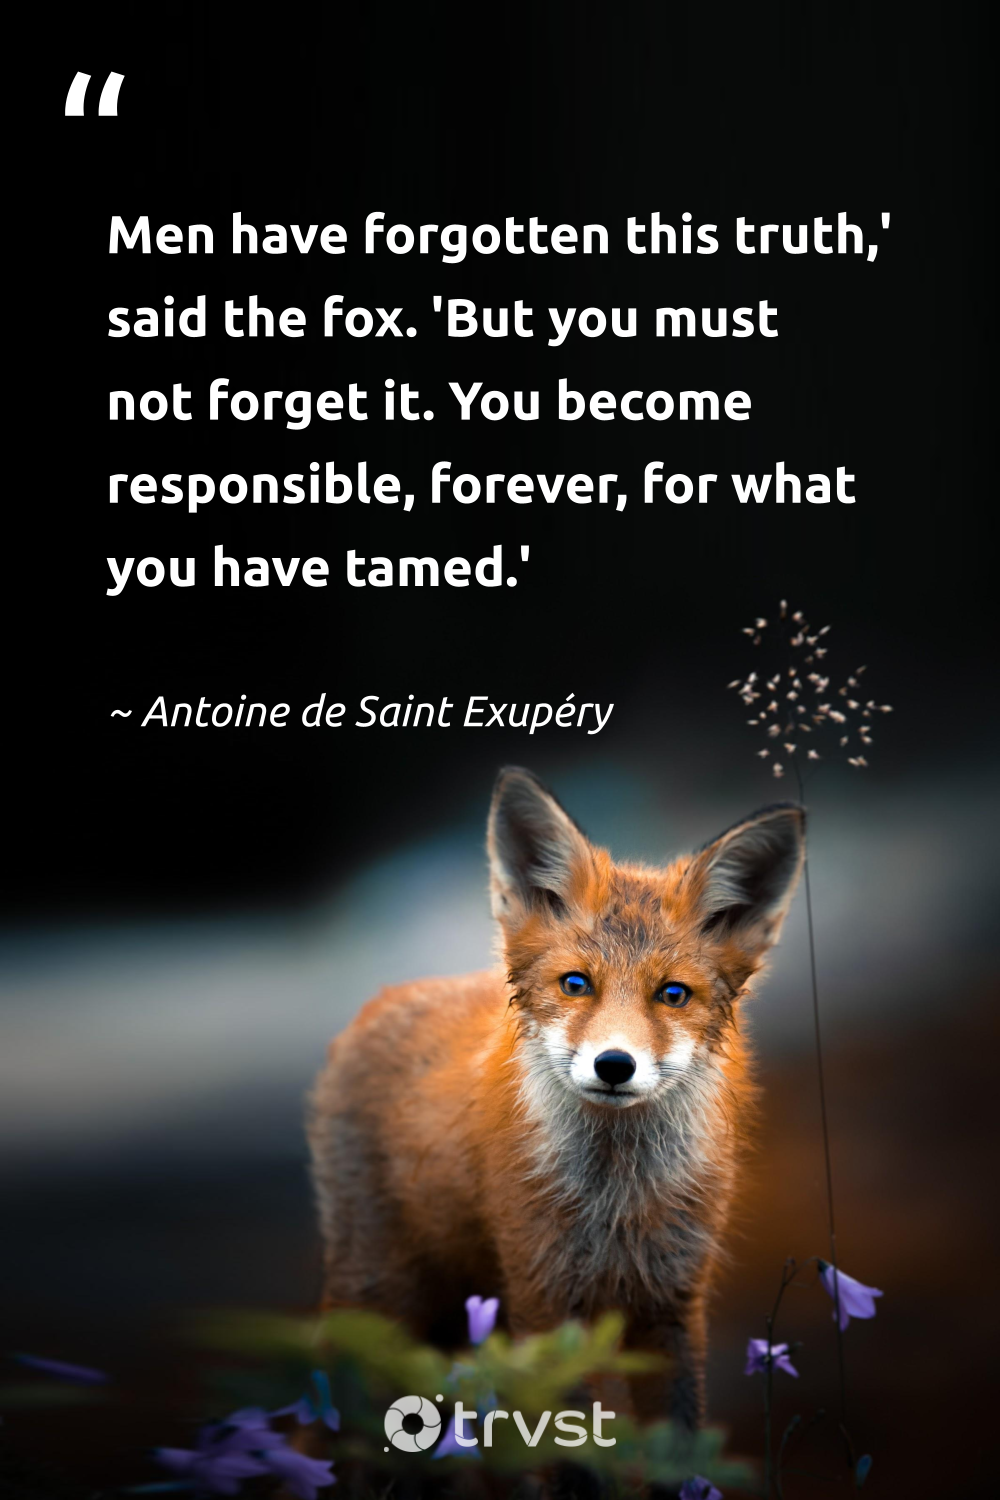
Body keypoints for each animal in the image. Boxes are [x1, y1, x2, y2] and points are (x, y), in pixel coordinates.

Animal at [308, 767, 805, 1429]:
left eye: (673, 994)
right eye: (576, 984)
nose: (615, 1065)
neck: (615, 1205)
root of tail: (383, 998)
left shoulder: (672, 1302)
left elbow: (678, 1438)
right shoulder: (541, 1296)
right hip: (383, 1295)